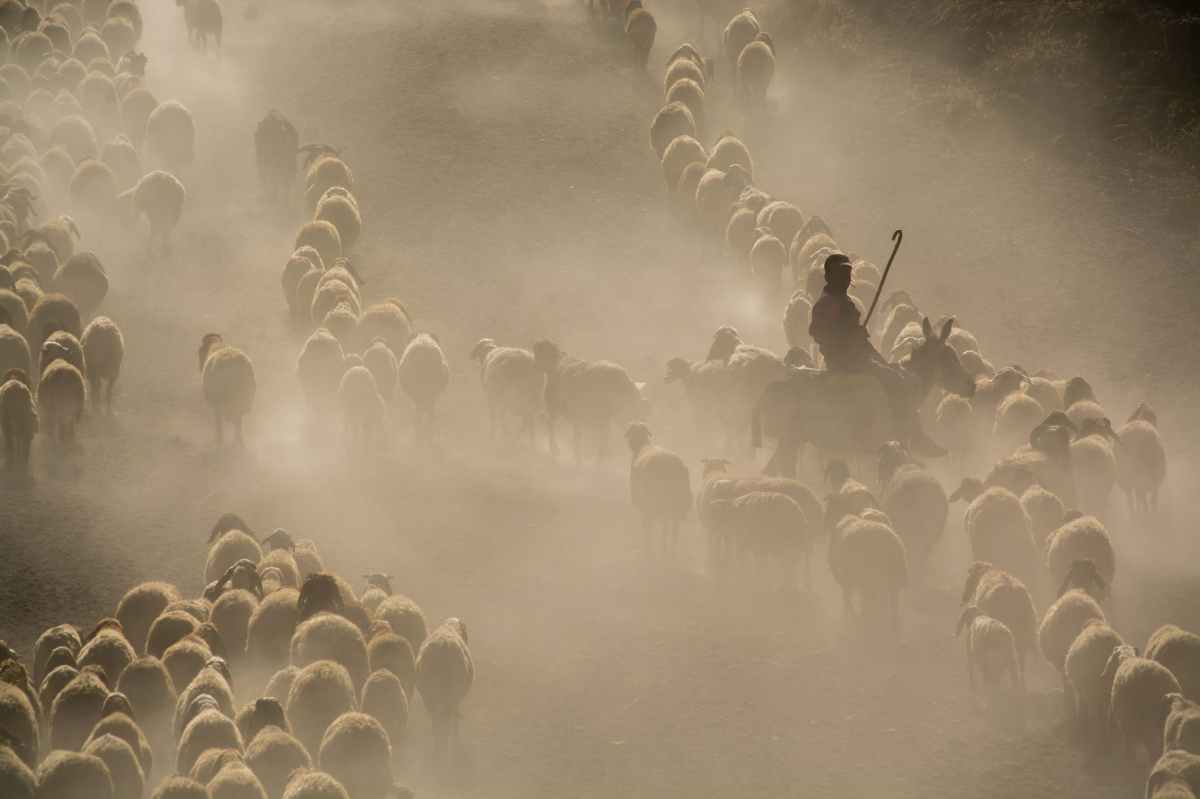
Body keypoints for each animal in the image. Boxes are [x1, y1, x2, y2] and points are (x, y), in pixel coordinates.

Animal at [416, 618, 473, 761]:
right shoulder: (455, 700)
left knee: (437, 721)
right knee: (445, 721)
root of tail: (443, 645)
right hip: (450, 695)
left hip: (430, 696)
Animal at [625, 422, 691, 556]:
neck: (642, 445)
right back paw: (670, 551)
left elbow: (647, 527)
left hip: (657, 500)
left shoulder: (644, 506)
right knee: (673, 529)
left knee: (663, 527)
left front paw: (648, 550)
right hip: (675, 503)